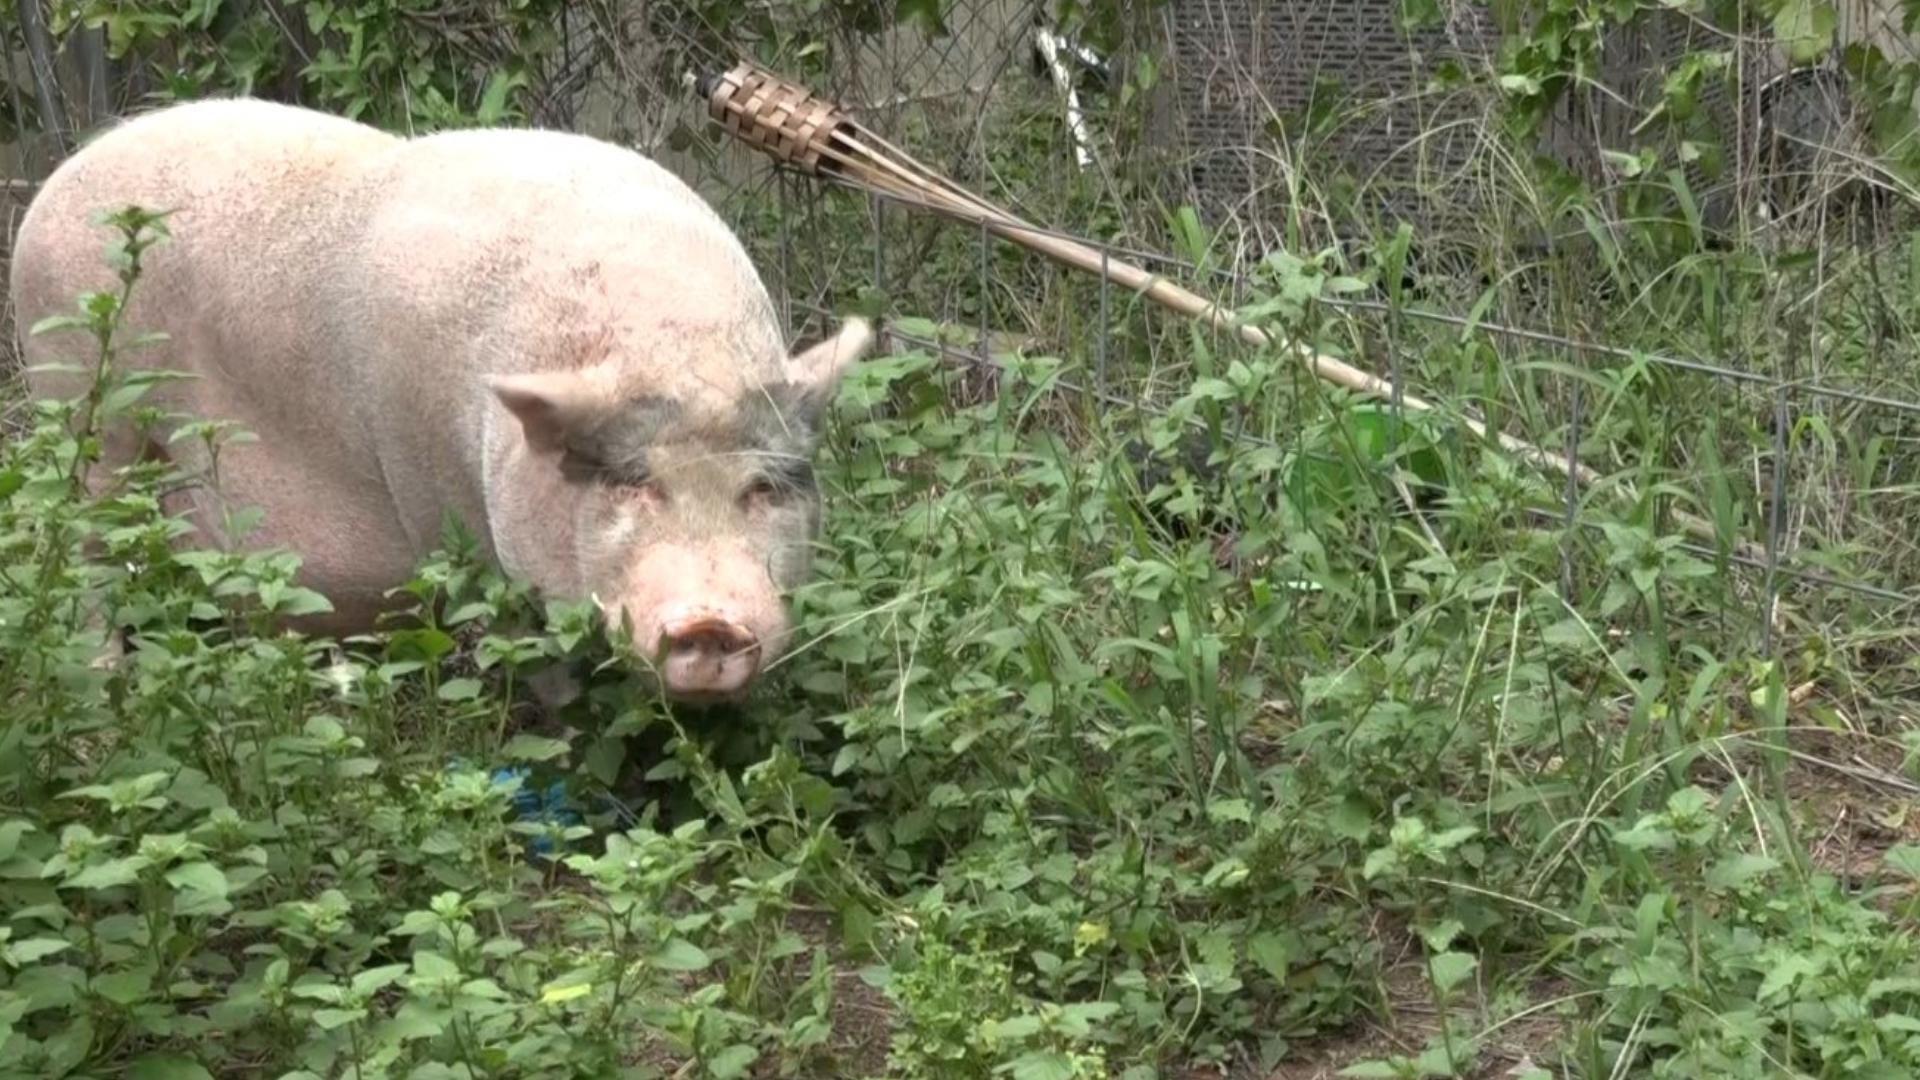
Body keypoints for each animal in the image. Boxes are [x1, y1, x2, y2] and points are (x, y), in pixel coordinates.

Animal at [8, 96, 875, 704]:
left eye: (761, 488)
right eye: (634, 483)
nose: (710, 622)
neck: (671, 339)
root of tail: (54, 185)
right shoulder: (441, 501)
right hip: (80, 400)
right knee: (88, 556)